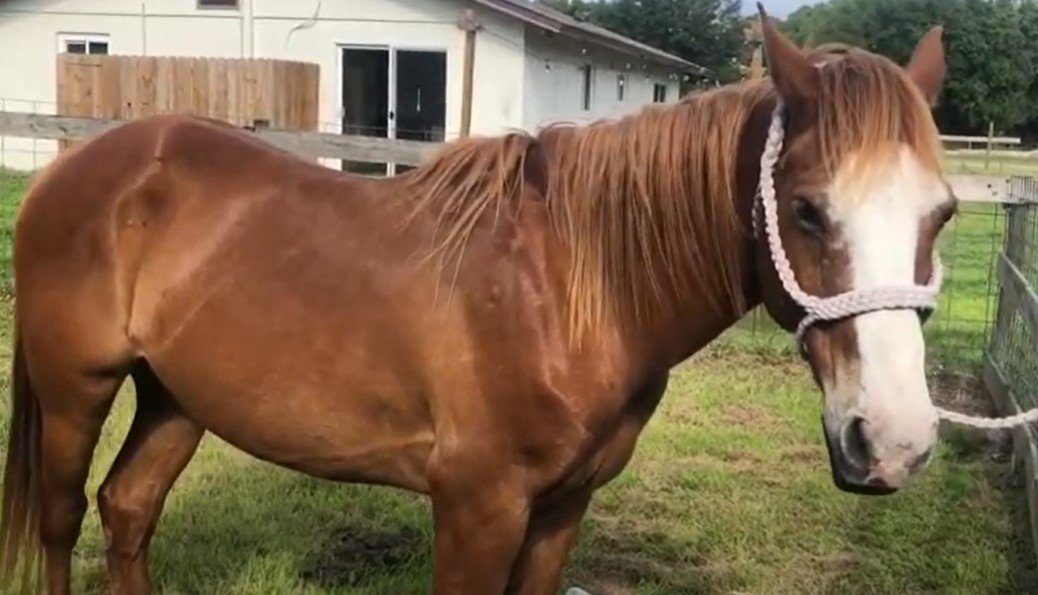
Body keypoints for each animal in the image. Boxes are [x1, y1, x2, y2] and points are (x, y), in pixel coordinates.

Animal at [0, 11, 954, 595]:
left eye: (941, 211)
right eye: (806, 209)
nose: (893, 443)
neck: (573, 291)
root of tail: (77, 169)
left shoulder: (560, 510)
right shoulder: (475, 508)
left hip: (176, 396)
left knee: (129, 510)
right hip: (78, 390)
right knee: (62, 521)